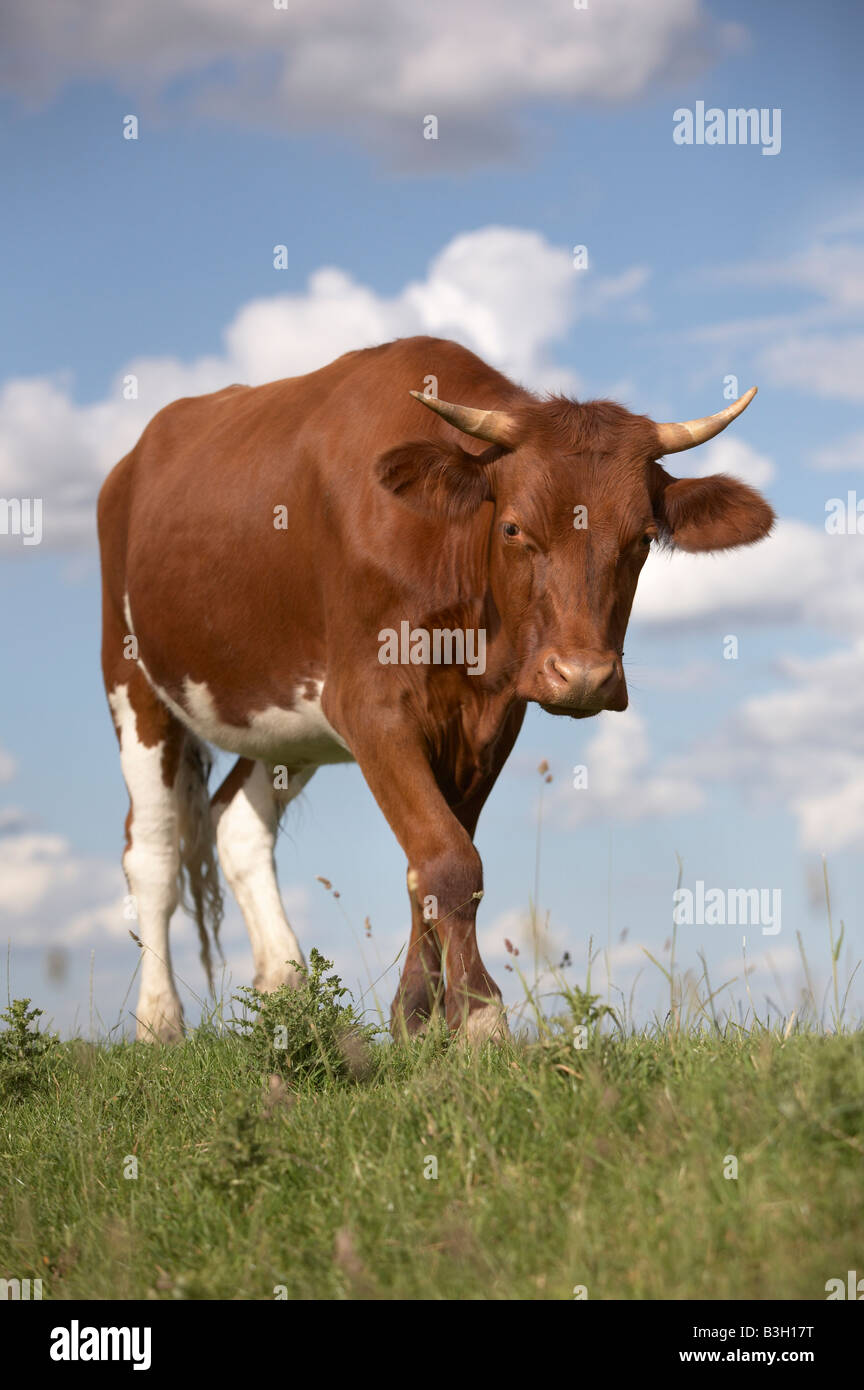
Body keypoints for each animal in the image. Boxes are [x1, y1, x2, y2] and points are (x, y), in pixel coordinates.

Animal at [97, 335, 774, 1044]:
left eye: (642, 538)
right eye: (512, 528)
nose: (584, 676)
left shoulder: (490, 722)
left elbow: (431, 861)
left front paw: (417, 1017)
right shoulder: (369, 705)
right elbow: (449, 859)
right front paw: (479, 1014)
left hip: (283, 722)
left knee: (236, 824)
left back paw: (285, 991)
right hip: (132, 679)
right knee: (152, 854)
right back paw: (160, 1021)